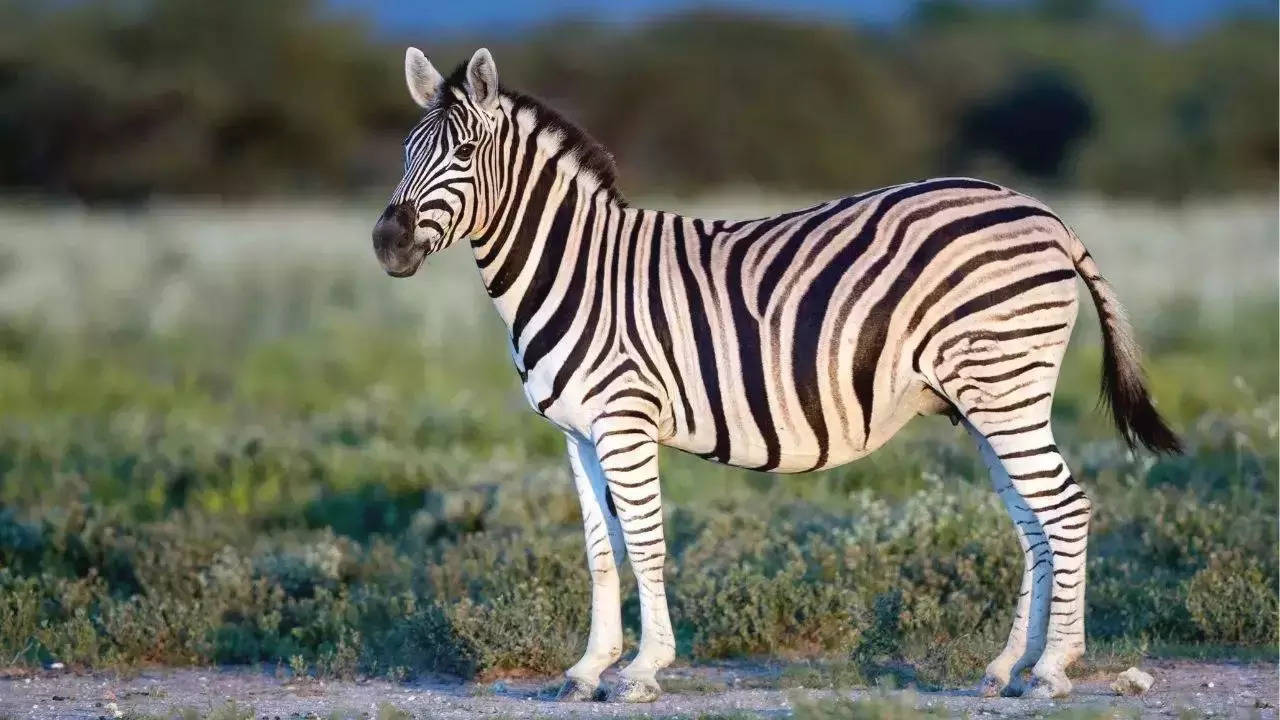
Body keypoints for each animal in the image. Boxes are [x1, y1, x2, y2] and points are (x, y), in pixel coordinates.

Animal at [372, 47, 1182, 703]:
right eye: (406, 150)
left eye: (464, 151)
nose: (387, 242)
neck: (576, 268)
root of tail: (1045, 214)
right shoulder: (576, 432)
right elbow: (601, 552)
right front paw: (587, 669)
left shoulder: (625, 420)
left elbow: (645, 542)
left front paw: (641, 671)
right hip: (989, 399)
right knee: (1035, 523)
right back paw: (1009, 666)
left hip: (1005, 386)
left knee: (1065, 509)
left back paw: (1051, 671)